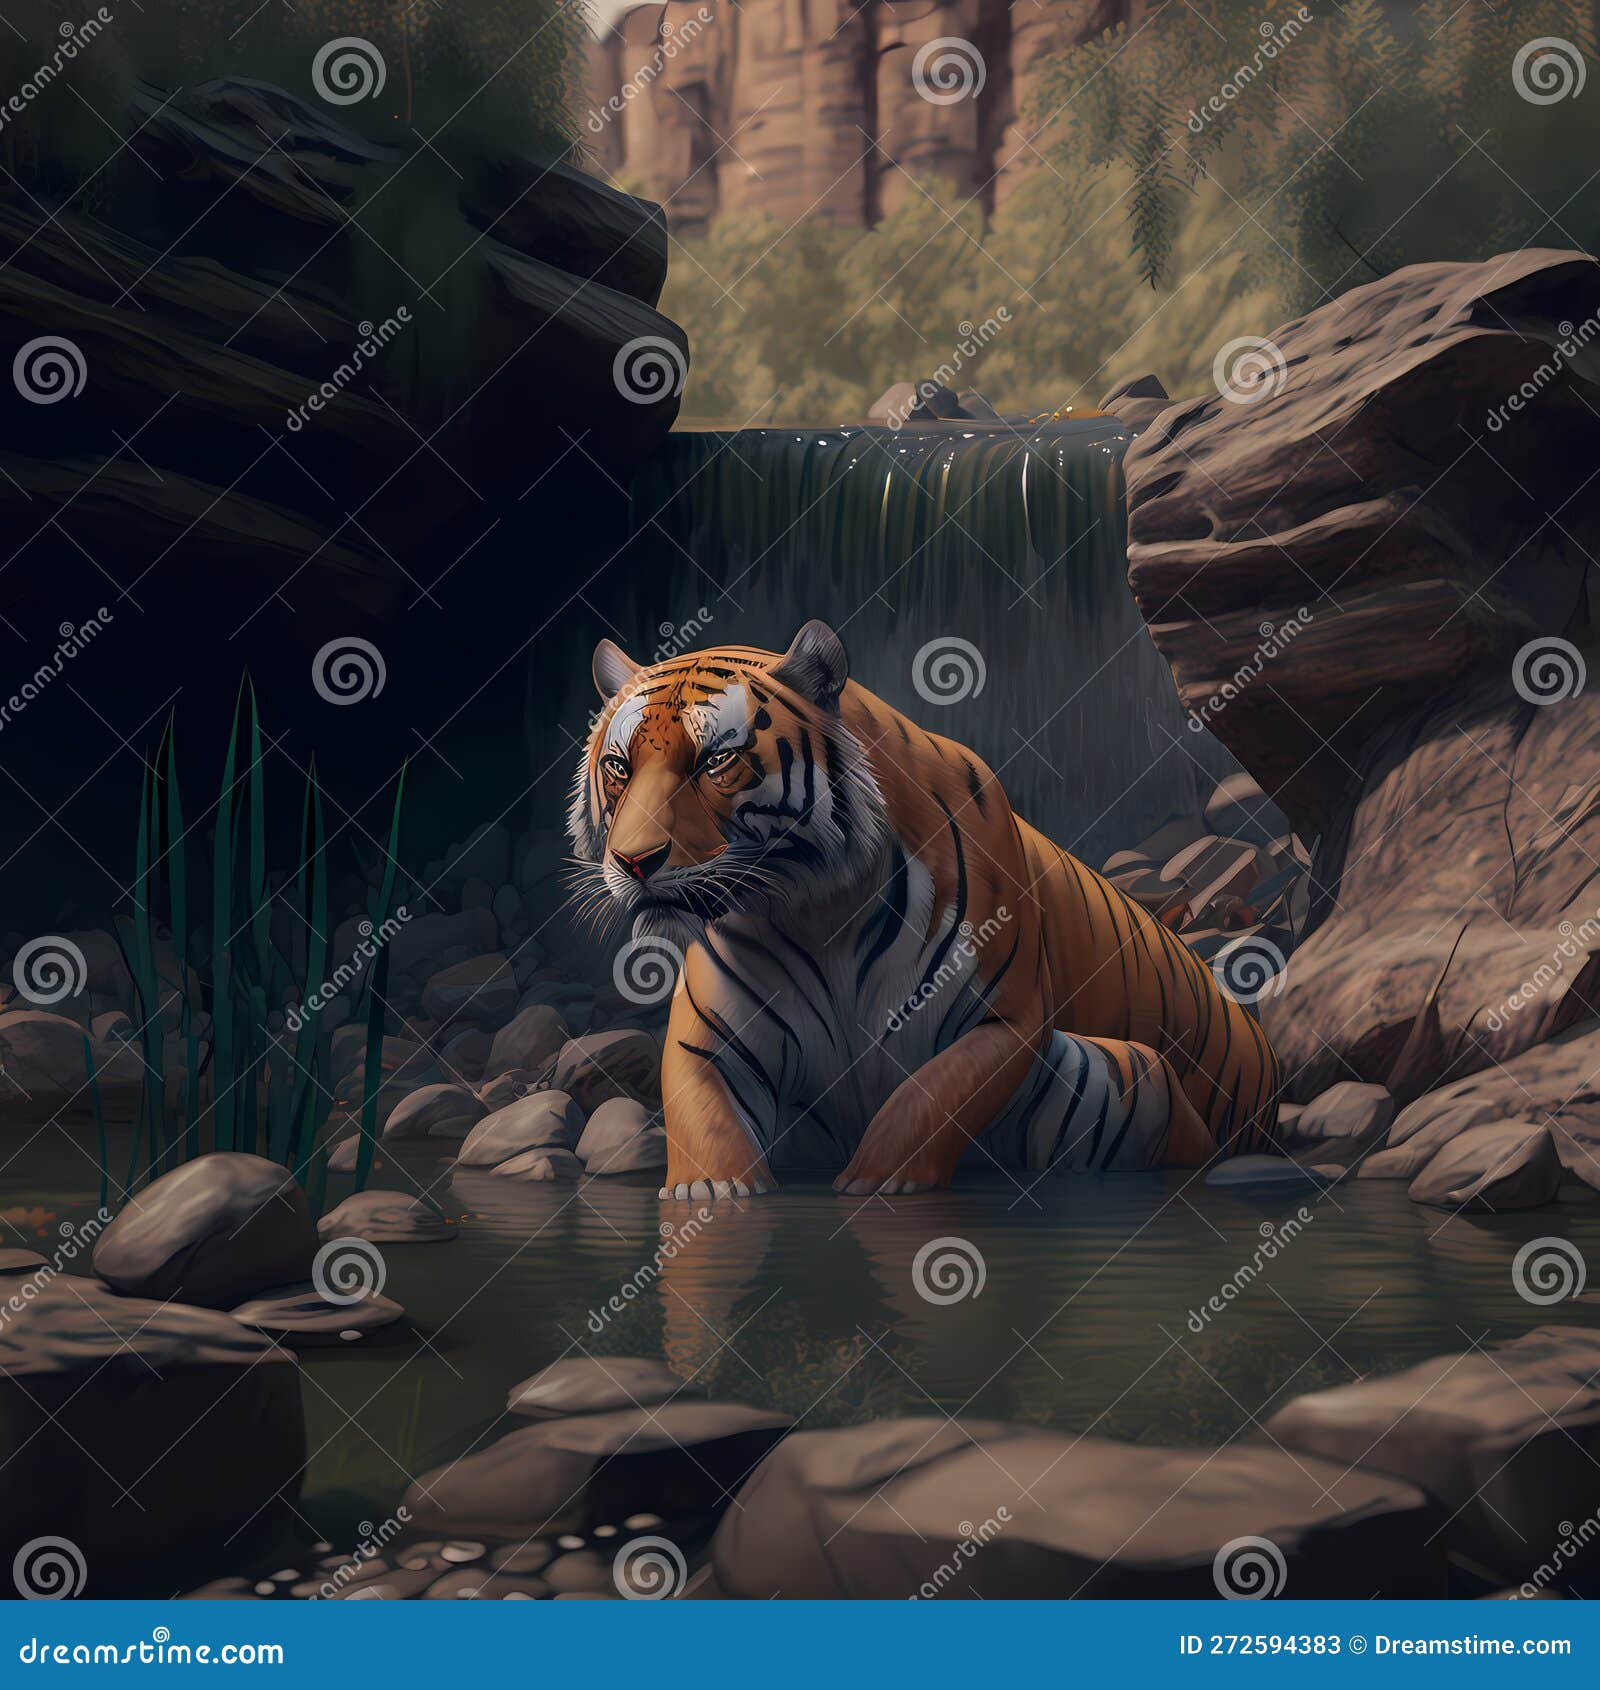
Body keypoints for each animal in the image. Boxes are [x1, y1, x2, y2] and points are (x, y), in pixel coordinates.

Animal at [567, 620, 1281, 1200]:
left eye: (716, 761)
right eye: (619, 767)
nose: (634, 861)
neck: (810, 909)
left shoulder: (1007, 1018)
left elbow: (925, 1102)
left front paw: (873, 1182)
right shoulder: (705, 1040)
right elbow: (708, 1133)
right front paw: (710, 1194)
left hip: (1120, 1076)